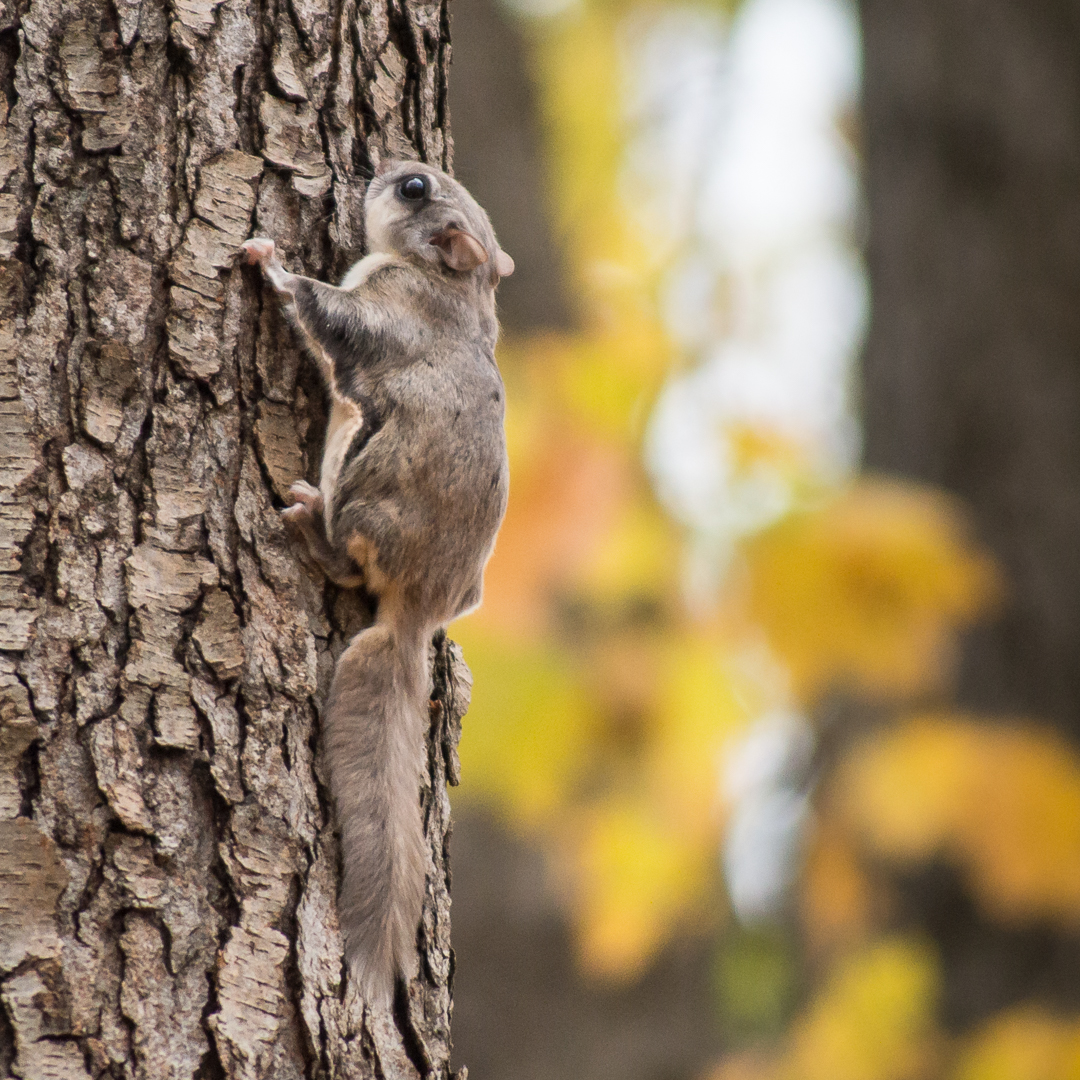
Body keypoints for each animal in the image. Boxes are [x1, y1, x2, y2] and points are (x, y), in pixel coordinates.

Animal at [240, 160, 513, 1004]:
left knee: (344, 550)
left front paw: (268, 261)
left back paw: (307, 524)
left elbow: (327, 314)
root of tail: (417, 613)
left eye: (416, 188)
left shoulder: (384, 315)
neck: (454, 285)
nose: (383, 167)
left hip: (363, 486)